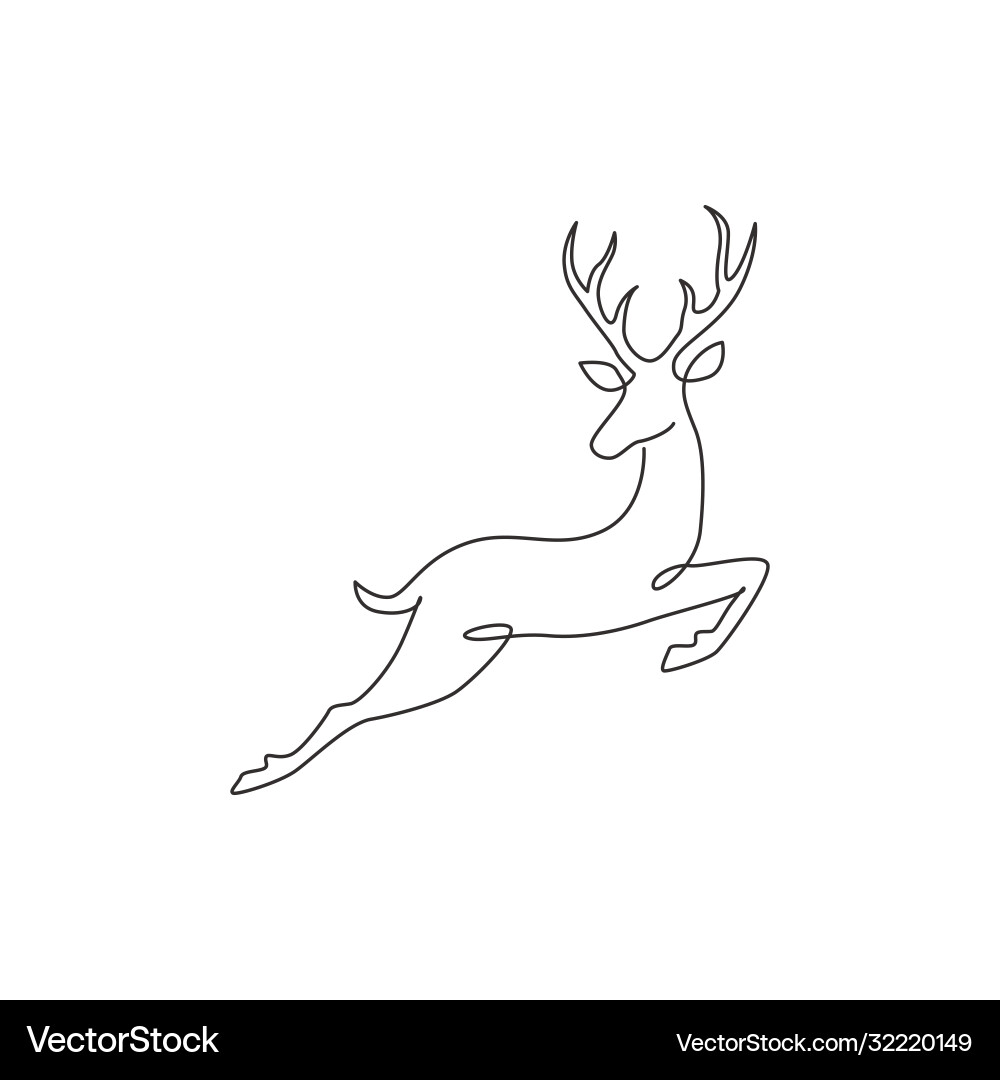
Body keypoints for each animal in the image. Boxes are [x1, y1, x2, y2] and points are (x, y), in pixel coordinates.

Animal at [231, 206, 769, 795]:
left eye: (665, 395)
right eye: (622, 389)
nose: (601, 444)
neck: (659, 533)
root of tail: (417, 587)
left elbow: (752, 568)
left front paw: (687, 648)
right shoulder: (648, 591)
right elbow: (749, 571)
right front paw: (686, 650)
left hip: (475, 646)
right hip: (438, 650)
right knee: (345, 706)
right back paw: (256, 776)